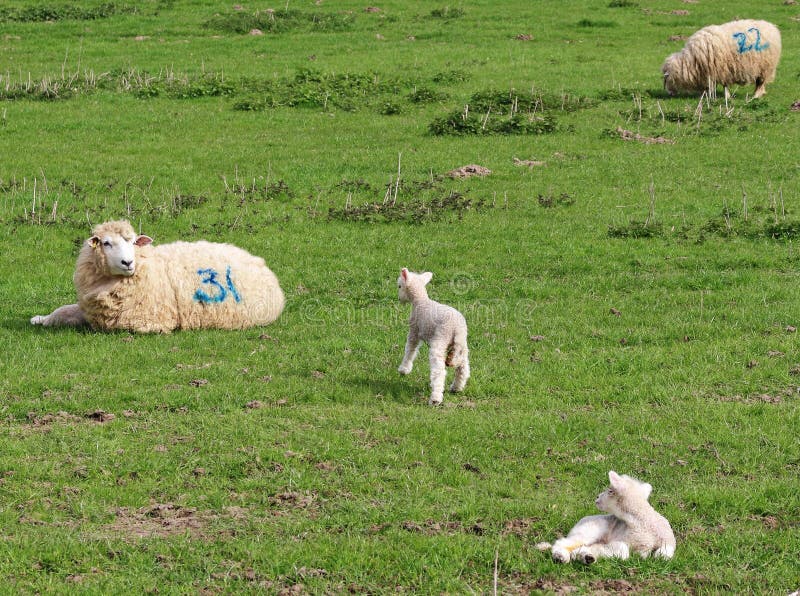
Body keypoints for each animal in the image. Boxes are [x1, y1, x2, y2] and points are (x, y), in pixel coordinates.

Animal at [31, 220, 285, 333]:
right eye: (106, 243)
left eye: (133, 242)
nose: (128, 262)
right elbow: (63, 310)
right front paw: (40, 319)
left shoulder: (146, 321)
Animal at [396, 267, 469, 405]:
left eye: (399, 286)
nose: (399, 299)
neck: (420, 300)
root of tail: (457, 328)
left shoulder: (414, 331)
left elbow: (410, 350)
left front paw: (404, 369)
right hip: (462, 344)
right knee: (463, 367)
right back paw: (456, 388)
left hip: (440, 340)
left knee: (439, 371)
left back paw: (435, 398)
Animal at [536, 471, 676, 564]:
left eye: (610, 491)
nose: (597, 497)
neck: (642, 522)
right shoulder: (623, 539)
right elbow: (623, 551)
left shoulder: (668, 539)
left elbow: (664, 555)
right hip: (589, 530)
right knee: (564, 543)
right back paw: (562, 556)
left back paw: (585, 556)